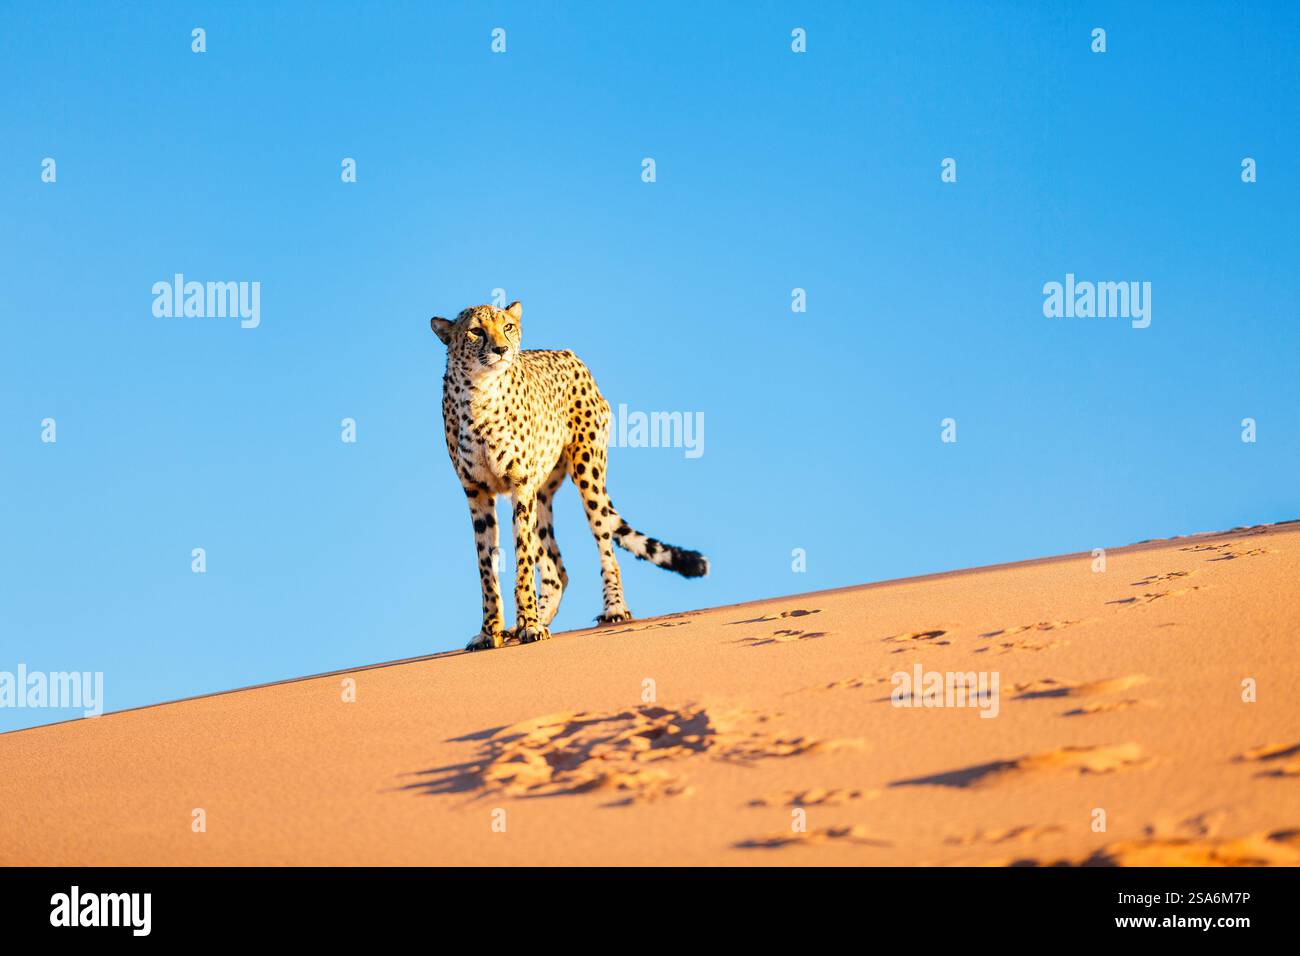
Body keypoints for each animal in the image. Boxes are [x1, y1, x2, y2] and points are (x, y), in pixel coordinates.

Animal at [430, 300, 709, 651]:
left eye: (507, 326)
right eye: (476, 331)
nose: (502, 349)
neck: (480, 392)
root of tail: (569, 354)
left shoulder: (520, 486)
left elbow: (522, 561)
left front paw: (529, 625)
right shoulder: (477, 492)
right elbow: (486, 567)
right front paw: (491, 629)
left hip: (587, 473)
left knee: (604, 545)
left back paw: (612, 609)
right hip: (541, 494)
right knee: (555, 571)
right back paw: (529, 620)